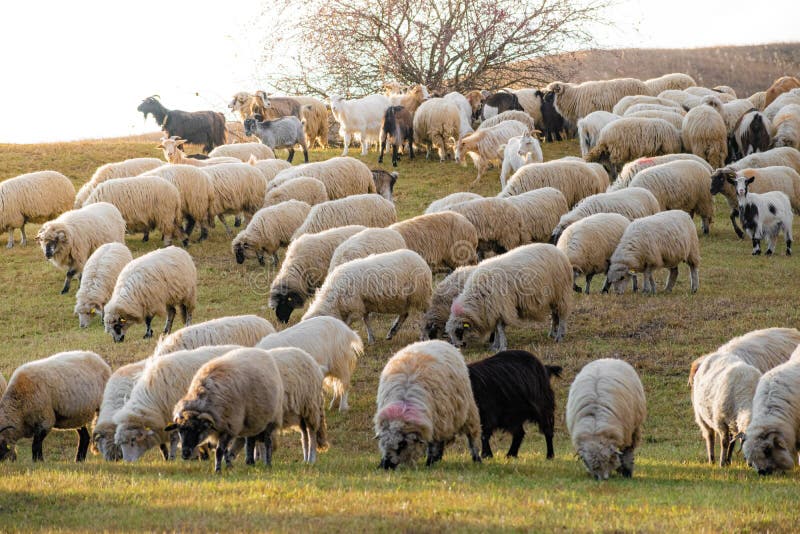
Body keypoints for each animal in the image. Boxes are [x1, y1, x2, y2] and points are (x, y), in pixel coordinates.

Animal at [303, 249, 432, 344]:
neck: (335, 299)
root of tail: (420, 259)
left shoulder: (355, 307)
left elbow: (350, 323)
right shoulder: (362, 304)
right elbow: (366, 320)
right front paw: (371, 339)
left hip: (420, 295)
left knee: (424, 314)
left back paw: (424, 336)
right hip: (403, 300)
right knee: (404, 314)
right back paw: (392, 332)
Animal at [375, 340, 481, 469]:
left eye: (402, 445)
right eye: (382, 443)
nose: (386, 466)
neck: (403, 404)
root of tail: (438, 341)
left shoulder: (436, 424)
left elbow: (432, 446)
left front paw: (429, 463)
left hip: (467, 411)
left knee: (472, 435)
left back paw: (476, 459)